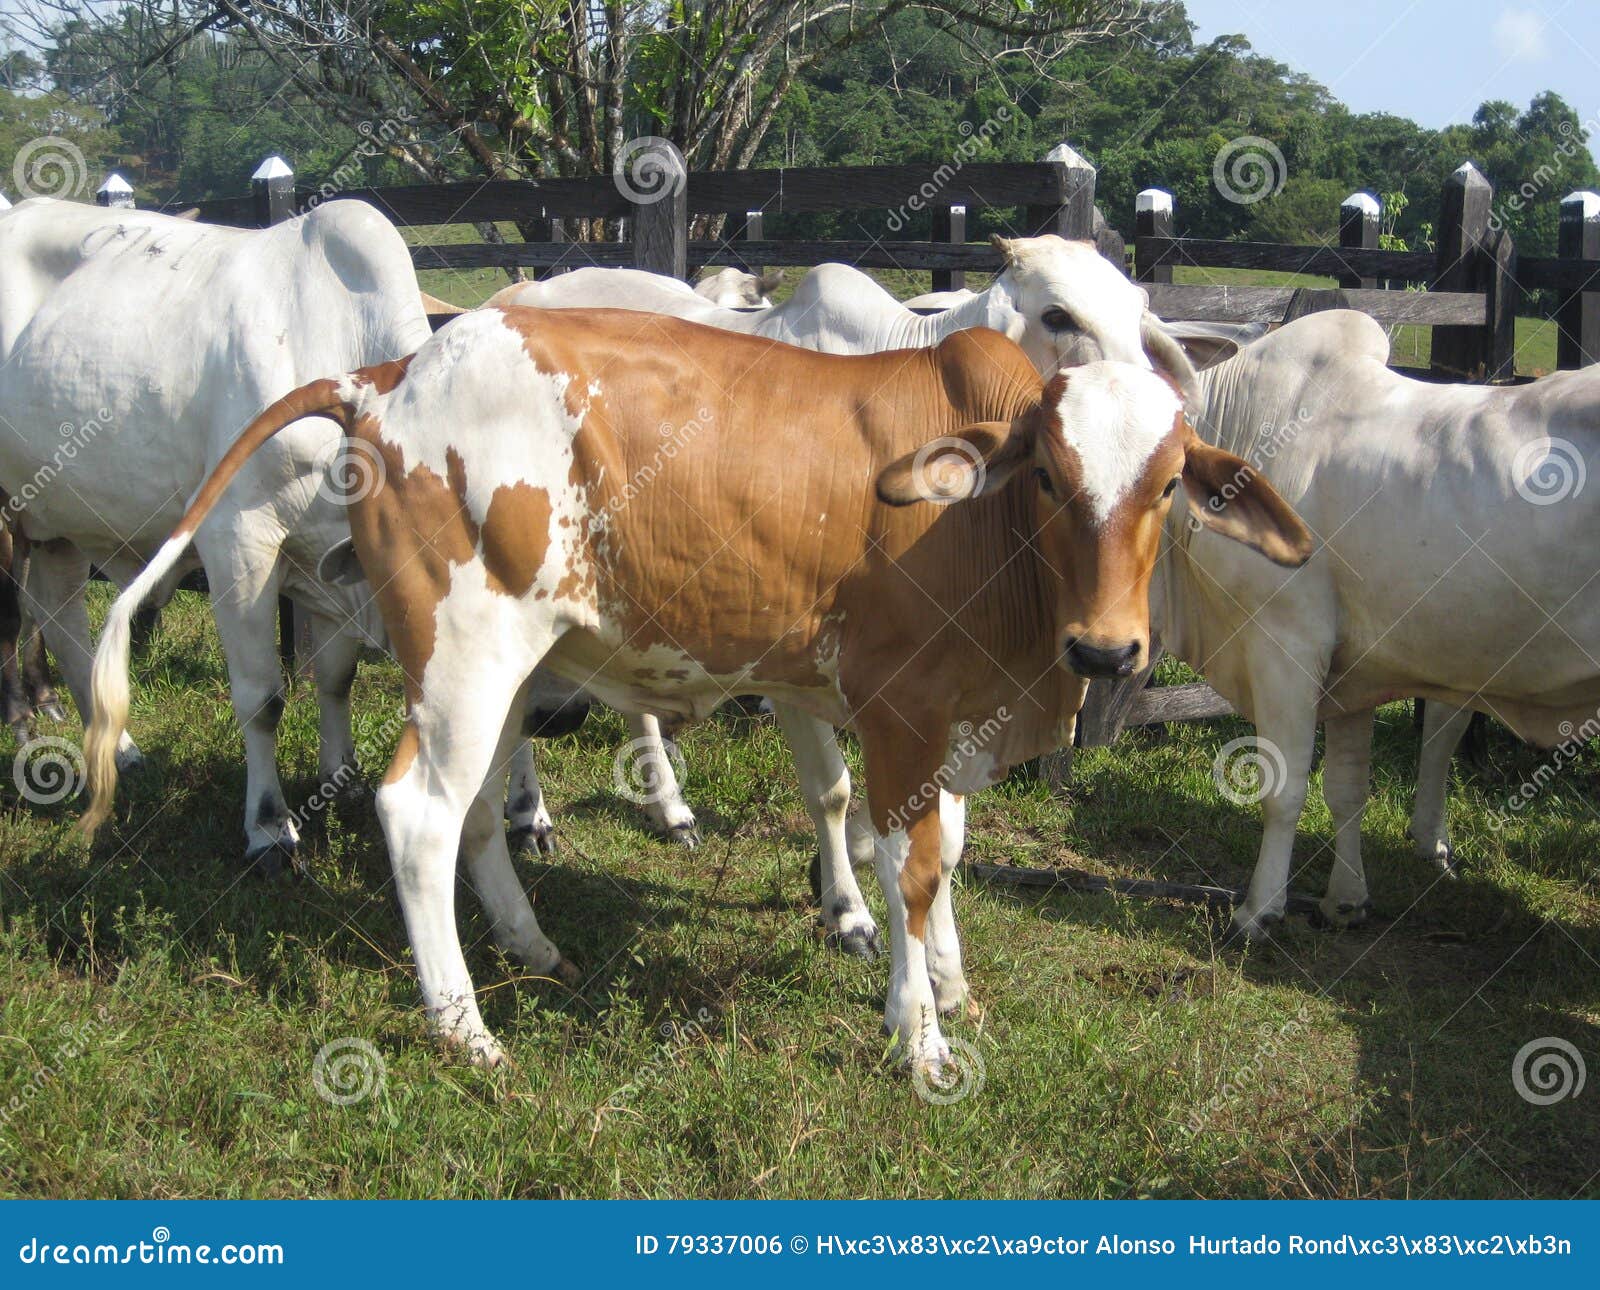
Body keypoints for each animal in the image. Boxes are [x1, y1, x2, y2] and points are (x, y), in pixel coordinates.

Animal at [0, 196, 430, 868]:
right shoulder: (238, 541)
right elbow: (263, 698)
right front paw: (269, 827)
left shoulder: (332, 559)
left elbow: (337, 678)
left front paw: (344, 781)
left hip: (55, 519)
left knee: (62, 620)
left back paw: (119, 748)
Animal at [82, 306, 1313, 1073]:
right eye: (1052, 478)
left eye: (1171, 485)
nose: (1107, 652)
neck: (984, 534)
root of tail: (390, 374)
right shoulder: (901, 709)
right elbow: (904, 868)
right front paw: (919, 1037)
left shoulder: (946, 719)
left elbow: (946, 854)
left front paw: (952, 986)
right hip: (462, 652)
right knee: (419, 813)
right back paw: (465, 1029)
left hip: (510, 662)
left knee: (475, 809)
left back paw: (531, 949)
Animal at [1148, 308, 1600, 937]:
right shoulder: (1354, 670)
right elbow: (1346, 790)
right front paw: (1346, 899)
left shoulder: (1284, 642)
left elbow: (1284, 788)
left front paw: (1258, 911)